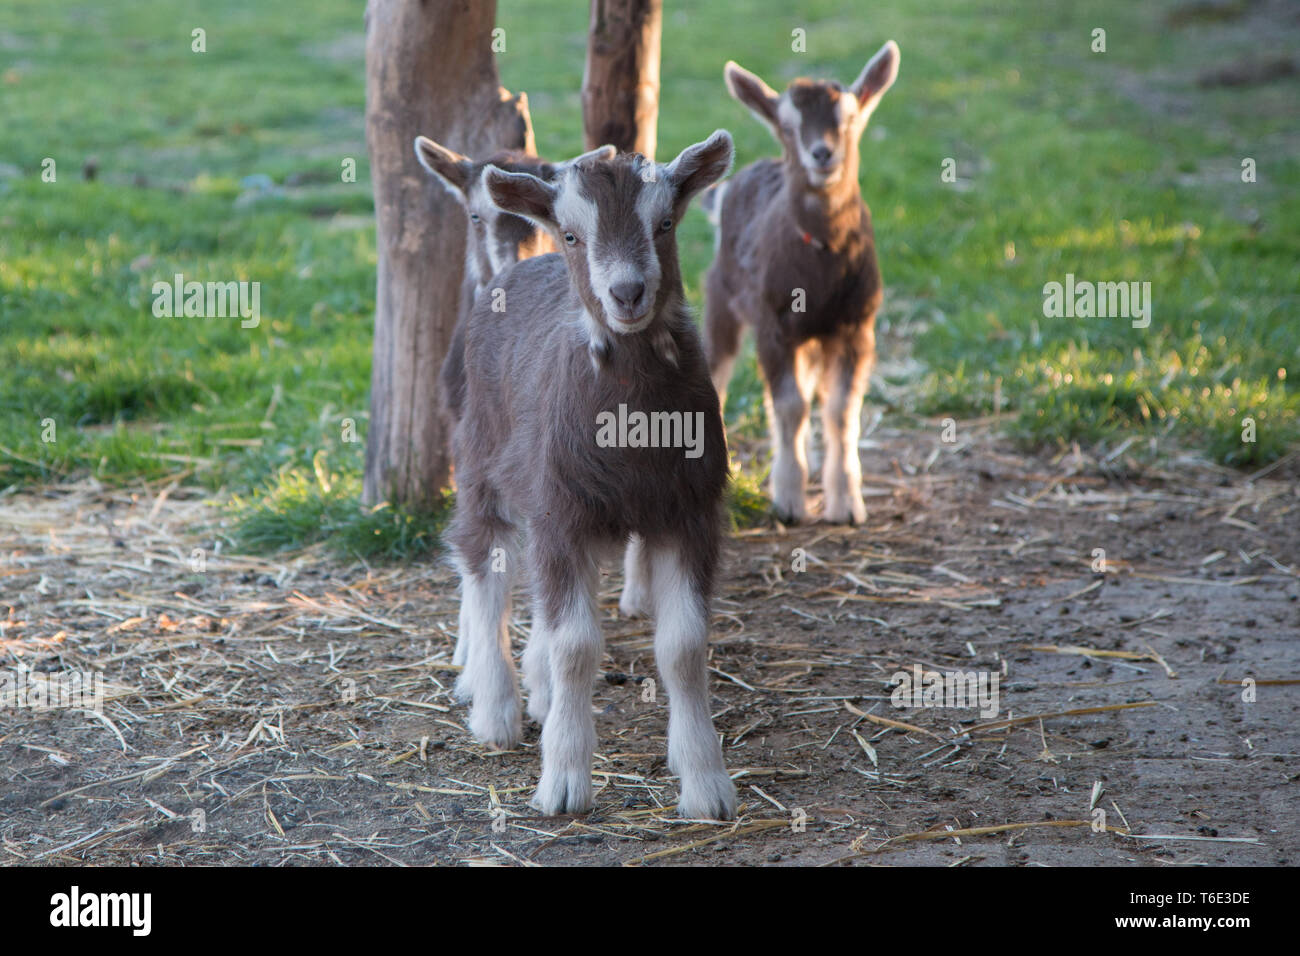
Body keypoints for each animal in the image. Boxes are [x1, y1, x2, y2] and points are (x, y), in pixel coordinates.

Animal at [445, 131, 737, 819]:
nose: (627, 293)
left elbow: (683, 647)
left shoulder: (690, 510)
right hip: (482, 458)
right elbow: (576, 646)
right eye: (573, 235)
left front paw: (705, 784)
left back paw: (538, 691)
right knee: (482, 564)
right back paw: (495, 708)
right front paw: (565, 782)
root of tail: (518, 270)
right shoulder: (561, 510)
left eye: (665, 223)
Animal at [703, 41, 900, 525]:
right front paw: (789, 502)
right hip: (722, 295)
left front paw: (847, 504)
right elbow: (790, 405)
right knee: (719, 367)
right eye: (788, 127)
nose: (821, 154)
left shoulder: (857, 325)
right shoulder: (773, 324)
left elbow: (841, 410)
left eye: (848, 119)